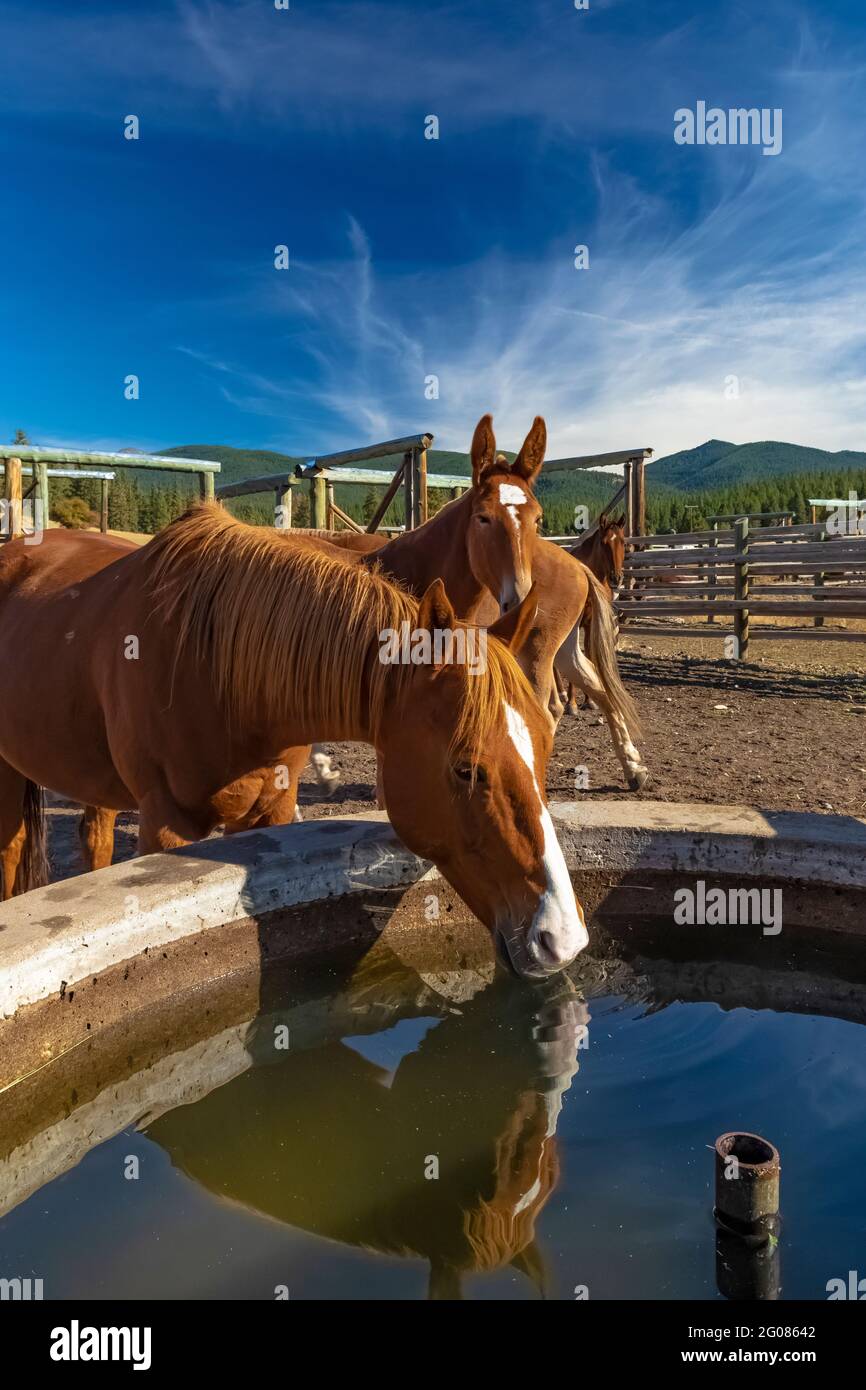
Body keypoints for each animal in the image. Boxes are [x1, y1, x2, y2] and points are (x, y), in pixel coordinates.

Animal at [0, 506, 588, 978]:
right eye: (465, 769)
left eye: (545, 749)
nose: (562, 939)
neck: (217, 666)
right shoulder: (164, 824)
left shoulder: (273, 809)